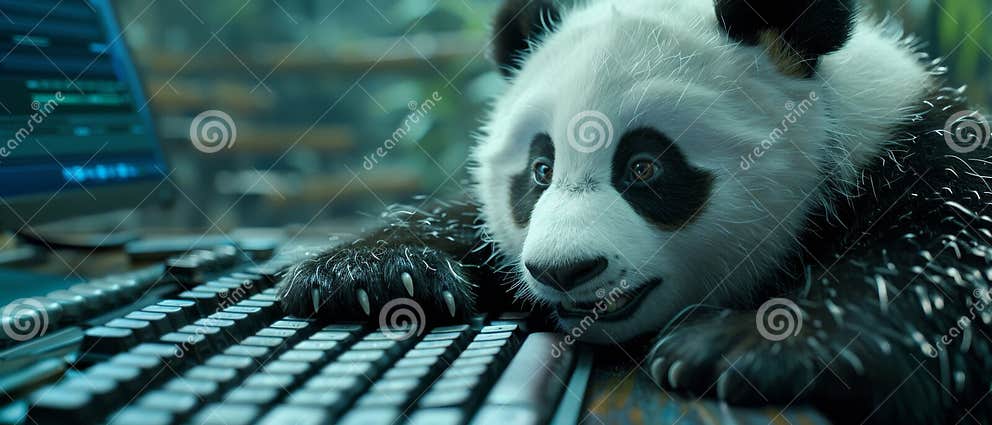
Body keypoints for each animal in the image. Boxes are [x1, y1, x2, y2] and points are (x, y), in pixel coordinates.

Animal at [278, 0, 992, 423]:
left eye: (644, 167)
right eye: (540, 171)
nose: (564, 271)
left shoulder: (932, 157)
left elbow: (942, 257)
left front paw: (748, 345)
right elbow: (459, 221)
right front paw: (371, 274)